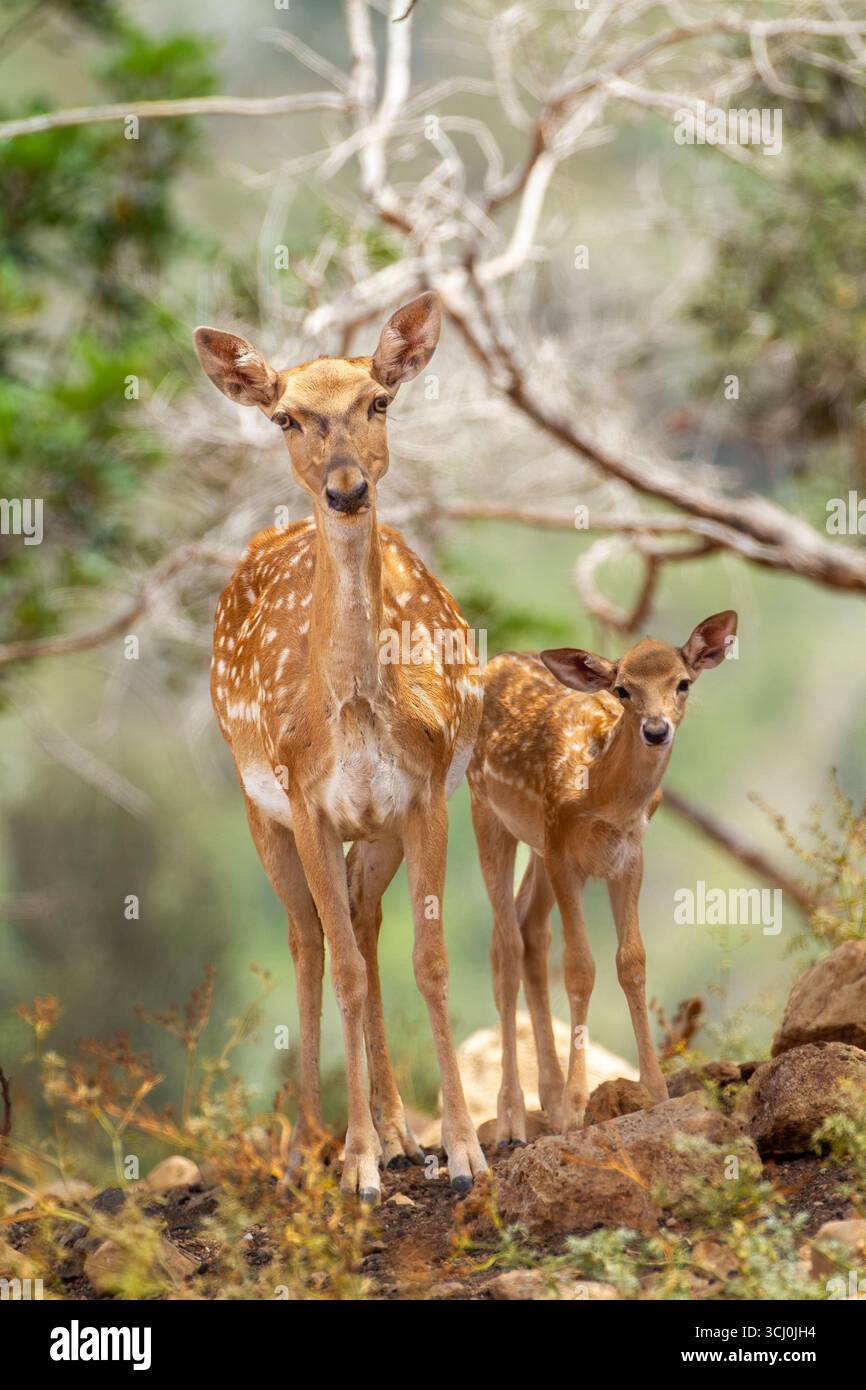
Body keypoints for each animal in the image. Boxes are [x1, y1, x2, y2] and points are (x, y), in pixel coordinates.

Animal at [193, 293, 487, 1203]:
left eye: (378, 402)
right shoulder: (308, 803)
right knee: (311, 942)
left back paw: (398, 1134)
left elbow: (431, 960)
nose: (347, 486)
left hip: (377, 831)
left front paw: (461, 1152)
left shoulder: (424, 795)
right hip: (259, 809)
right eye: (287, 417)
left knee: (362, 921)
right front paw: (355, 1166)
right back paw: (307, 1149)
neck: (355, 711)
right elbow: (346, 969)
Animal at [466, 611, 738, 1143]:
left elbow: (631, 962)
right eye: (623, 689)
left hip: (536, 842)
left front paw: (654, 1090)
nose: (656, 729)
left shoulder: (628, 855)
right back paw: (512, 1116)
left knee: (530, 930)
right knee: (505, 945)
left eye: (683, 683)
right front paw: (577, 1107)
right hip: (486, 808)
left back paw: (546, 1098)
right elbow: (580, 967)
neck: (601, 795)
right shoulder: (563, 854)